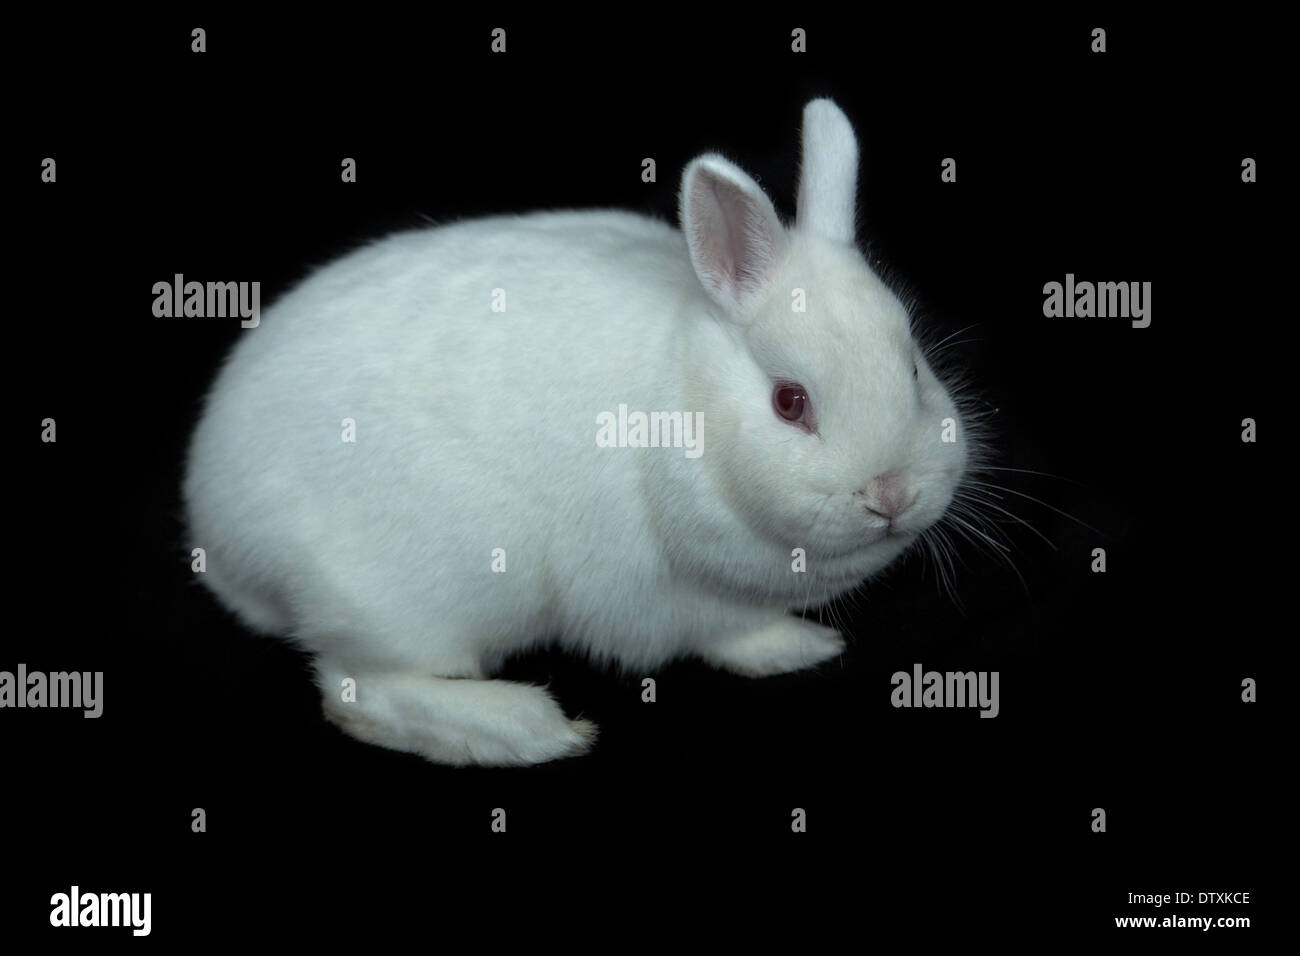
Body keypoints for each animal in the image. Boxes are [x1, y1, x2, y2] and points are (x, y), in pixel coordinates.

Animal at [183, 98, 973, 766]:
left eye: (913, 370)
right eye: (789, 402)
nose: (890, 495)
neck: (684, 395)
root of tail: (218, 528)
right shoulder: (663, 600)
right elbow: (723, 631)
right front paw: (799, 643)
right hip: (408, 596)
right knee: (359, 690)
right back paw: (529, 729)